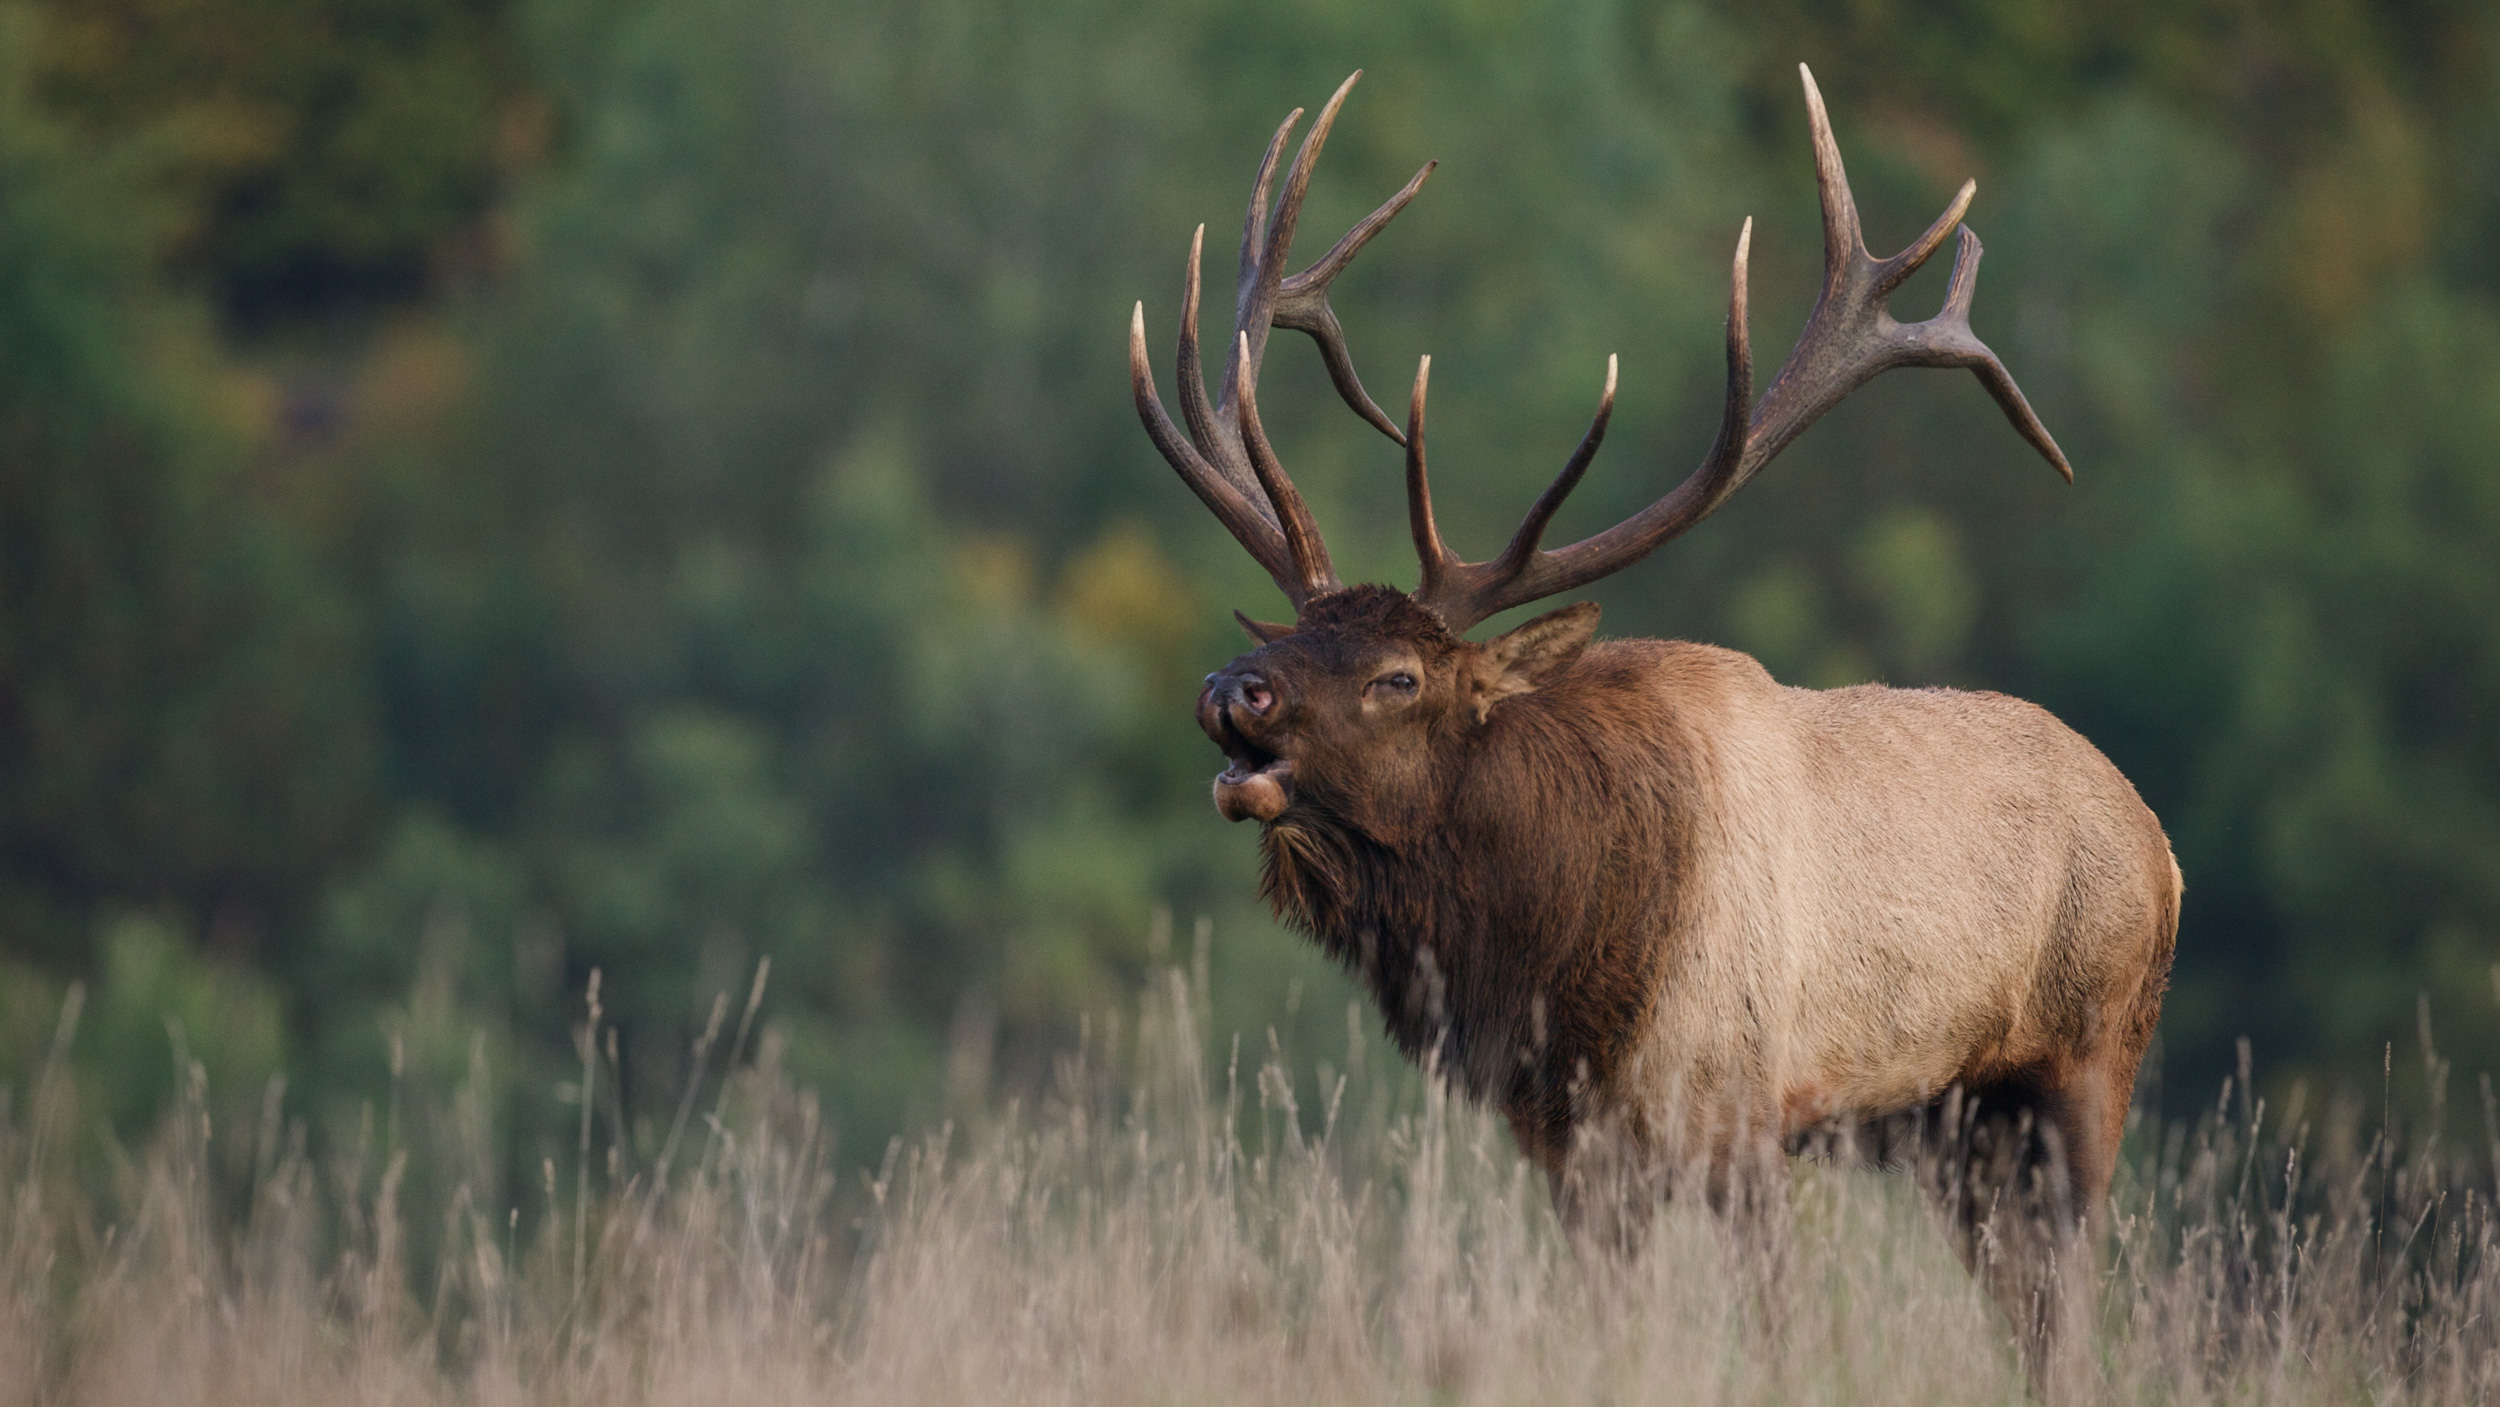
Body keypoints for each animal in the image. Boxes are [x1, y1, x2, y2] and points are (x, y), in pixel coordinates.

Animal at [1127, 67, 2179, 1372]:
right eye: (1286, 635)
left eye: (1397, 679)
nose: (1236, 689)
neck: (1562, 960)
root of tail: (2159, 843)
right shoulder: (1570, 1151)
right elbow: (1606, 1327)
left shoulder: (1740, 1115)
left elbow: (1781, 1334)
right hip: (1955, 1128)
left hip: (2087, 1061)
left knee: (2069, 1301)